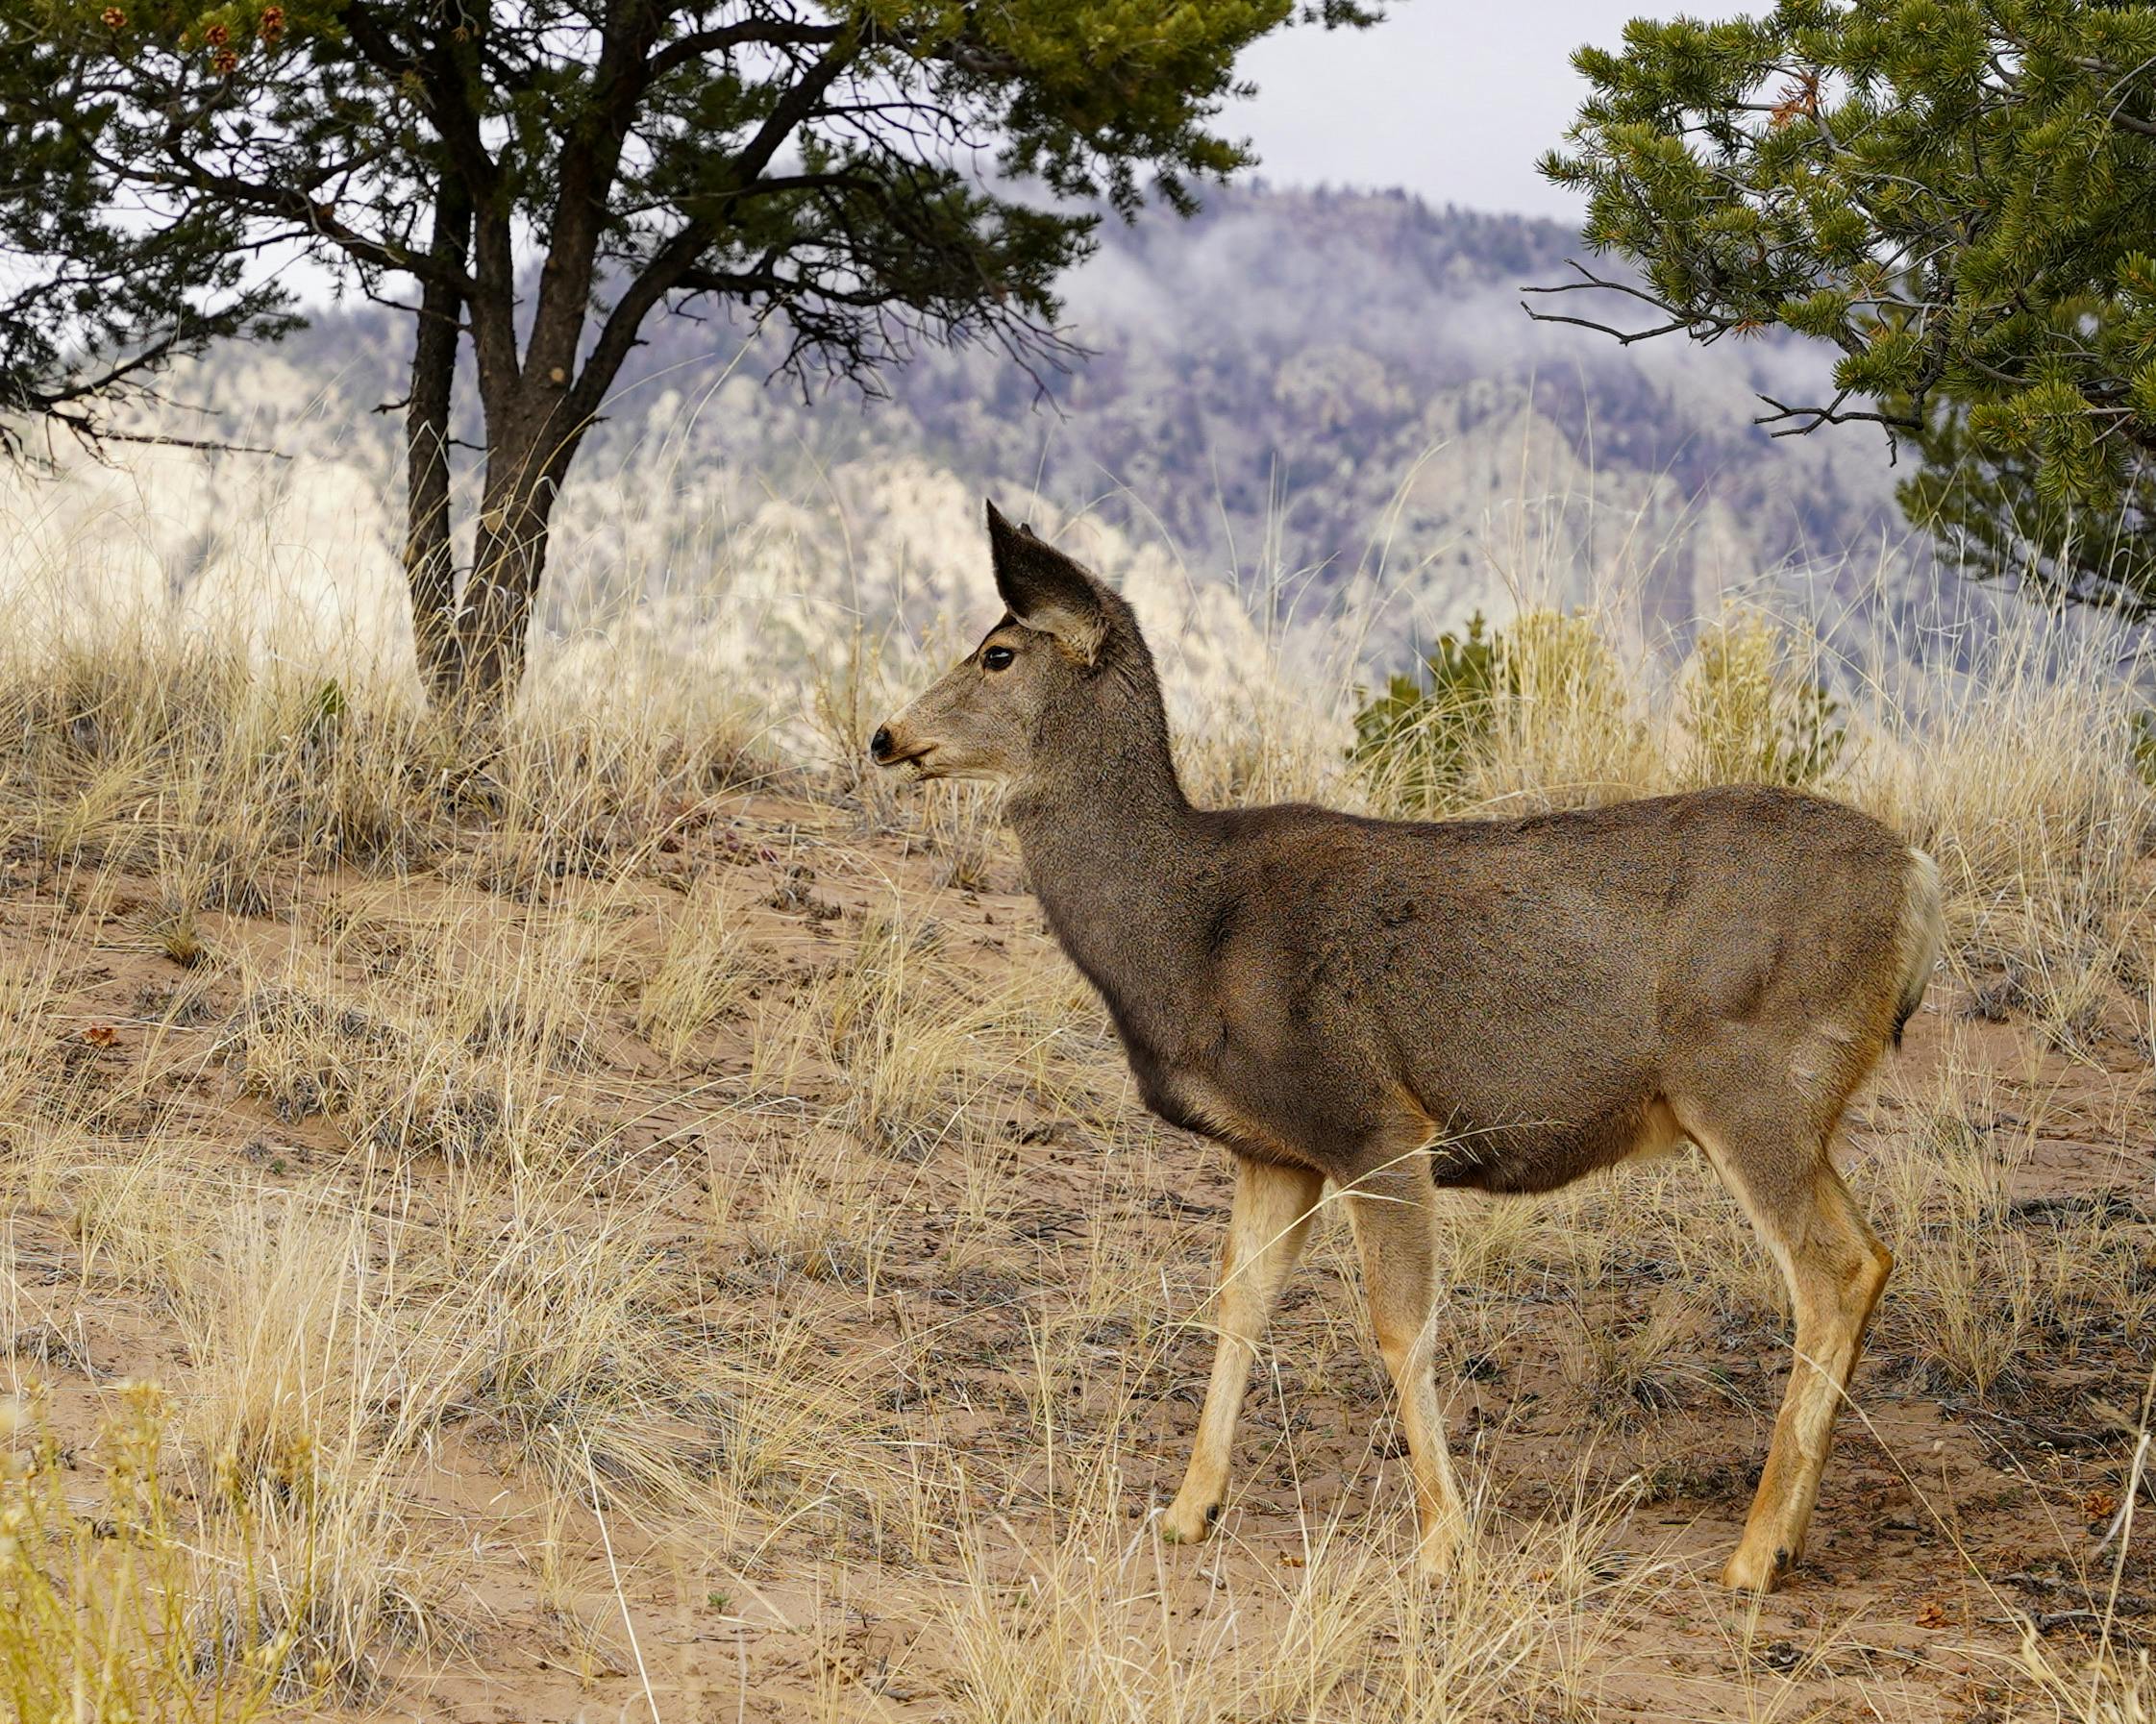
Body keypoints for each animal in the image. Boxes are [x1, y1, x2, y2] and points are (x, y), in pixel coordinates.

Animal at [870, 502, 1943, 1593]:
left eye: (997, 653)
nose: (885, 735)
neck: (1189, 930)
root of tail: (1916, 879)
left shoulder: (1373, 1120)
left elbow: (1399, 1327)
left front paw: (1441, 1541)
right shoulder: (1274, 1149)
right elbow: (1237, 1304)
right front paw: (1185, 1511)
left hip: (1750, 1077)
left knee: (1829, 1272)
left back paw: (1753, 1555)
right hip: (1796, 1101)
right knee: (1870, 1255)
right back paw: (1787, 1536)